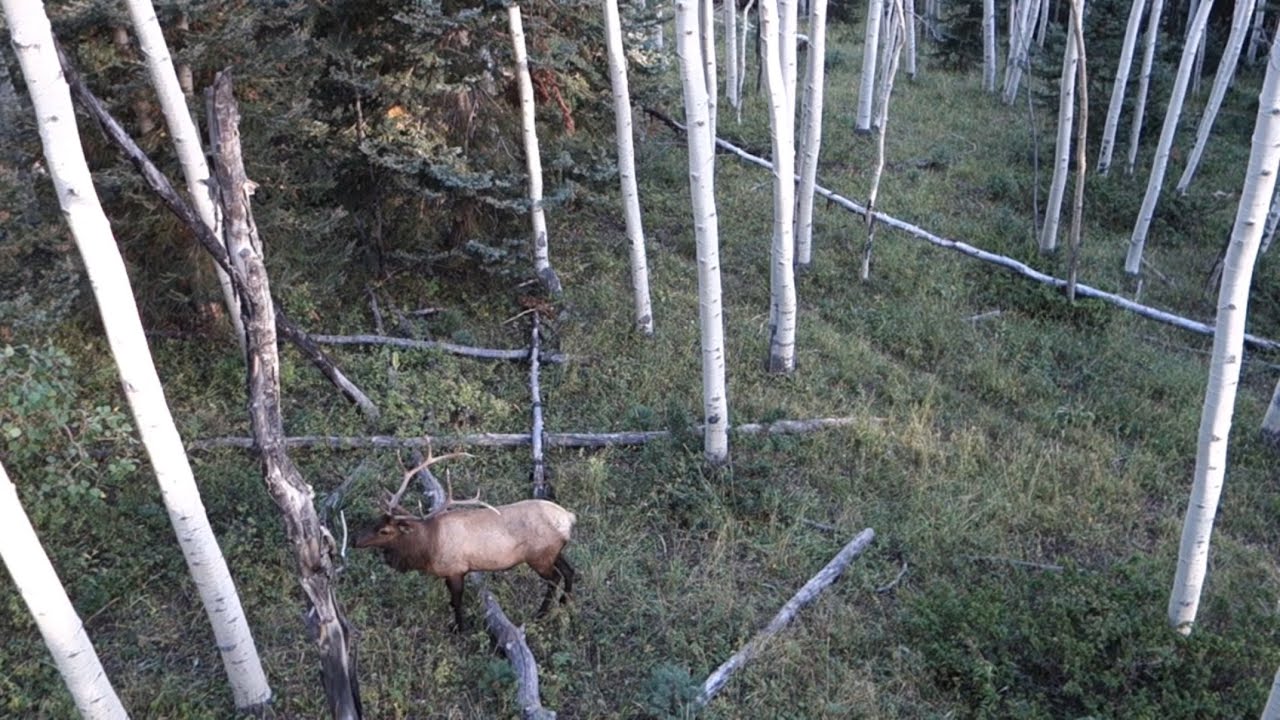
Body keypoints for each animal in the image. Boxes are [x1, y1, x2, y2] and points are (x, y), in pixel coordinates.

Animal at [353, 450, 576, 630]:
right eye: (375, 521)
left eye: (384, 531)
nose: (355, 541)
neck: (427, 547)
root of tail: (569, 518)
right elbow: (453, 601)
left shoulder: (456, 569)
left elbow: (457, 601)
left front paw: (460, 628)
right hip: (554, 552)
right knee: (569, 570)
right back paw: (564, 602)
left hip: (539, 556)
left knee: (554, 578)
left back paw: (540, 615)